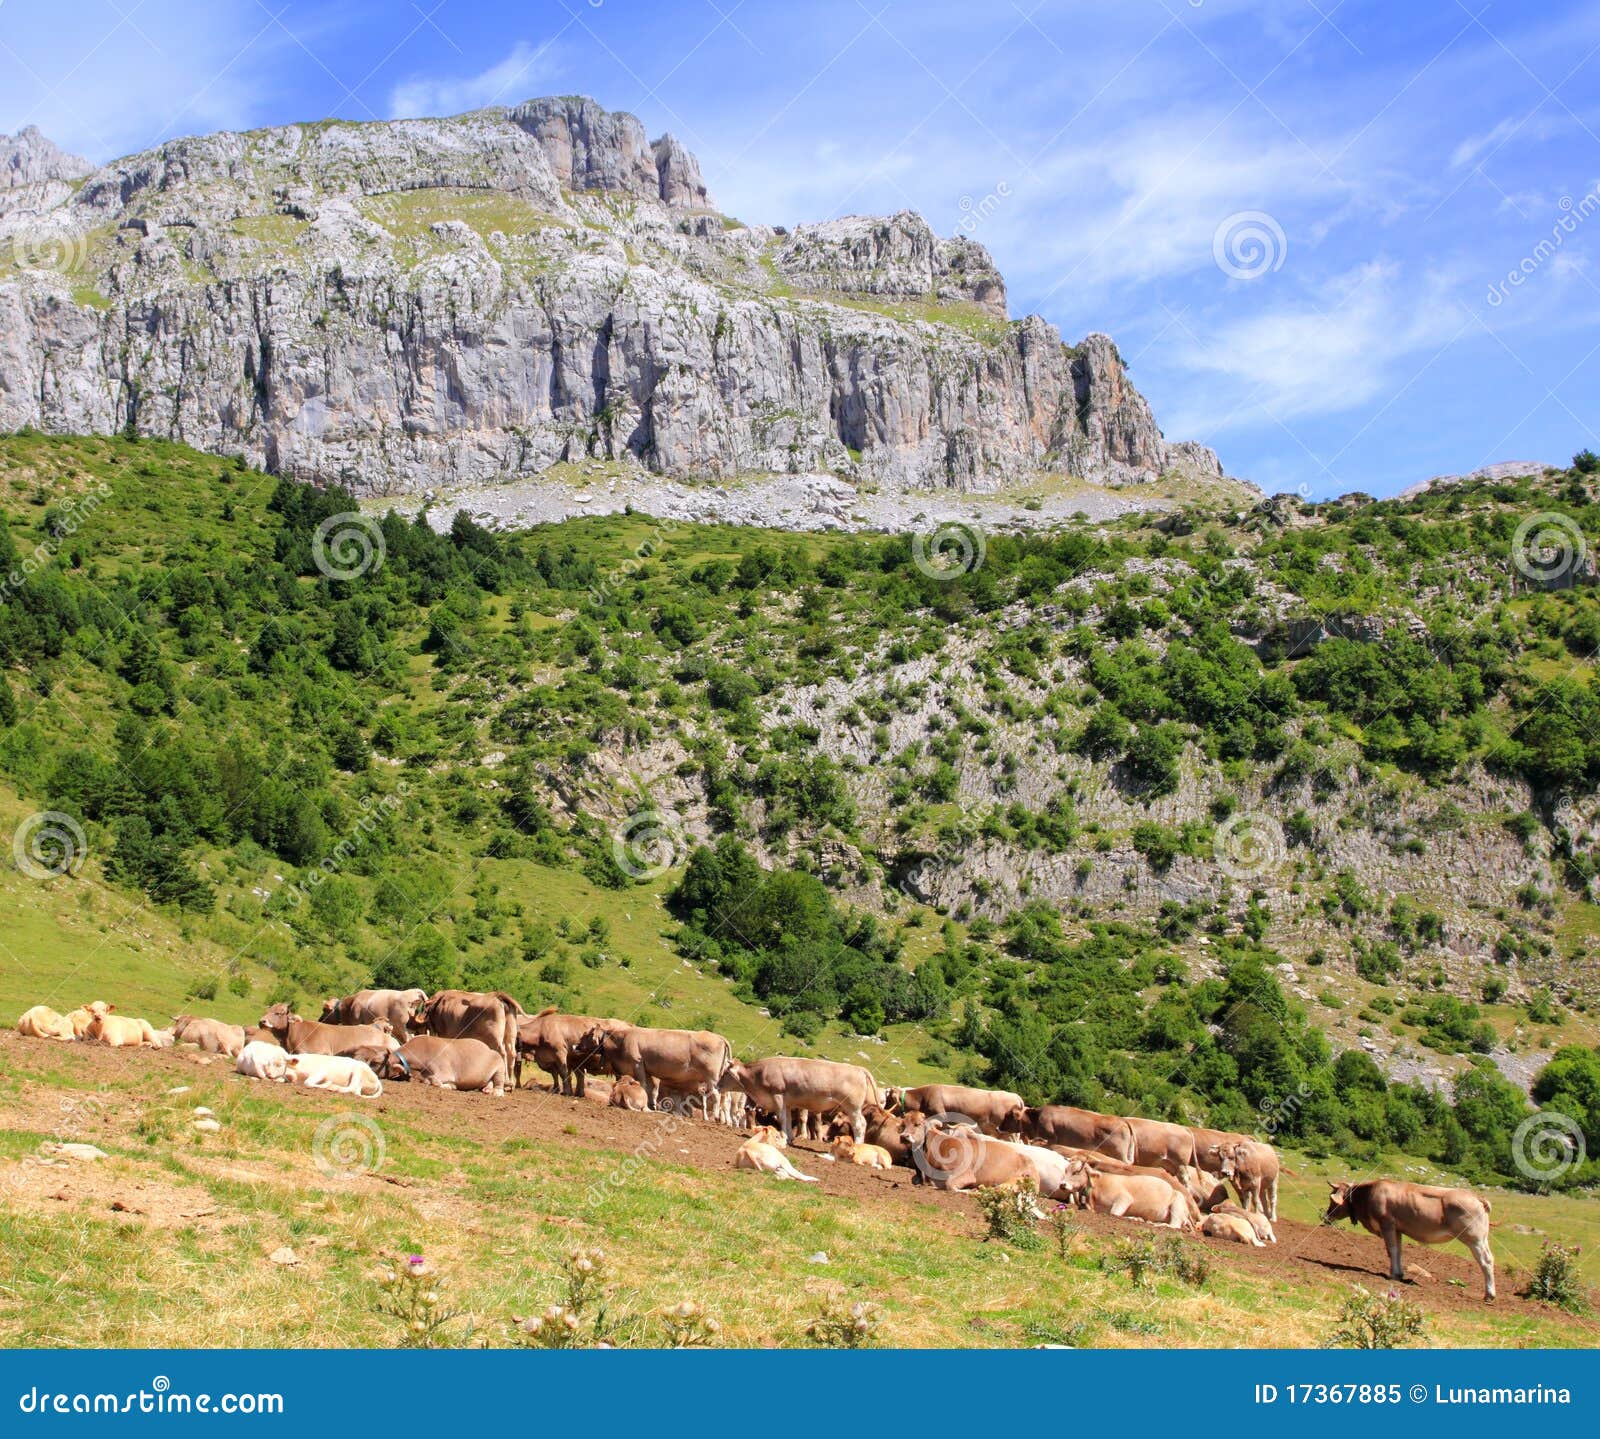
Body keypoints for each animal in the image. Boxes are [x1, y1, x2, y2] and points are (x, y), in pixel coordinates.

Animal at [598, 1025, 733, 1118]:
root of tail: (719, 1037)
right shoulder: (647, 1070)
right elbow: (652, 1090)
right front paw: (652, 1106)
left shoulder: (637, 1064)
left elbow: (644, 1085)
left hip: (711, 1077)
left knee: (715, 1095)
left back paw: (714, 1116)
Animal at [727, 1057, 878, 1144]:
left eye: (725, 1073)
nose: (717, 1084)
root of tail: (859, 1069)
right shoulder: (787, 1103)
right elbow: (787, 1119)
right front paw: (789, 1138)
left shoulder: (778, 1096)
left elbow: (783, 1118)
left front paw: (784, 1137)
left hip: (852, 1107)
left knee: (859, 1125)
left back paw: (857, 1145)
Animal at [1056, 1158, 1192, 1229]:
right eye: (1065, 1171)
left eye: (1076, 1172)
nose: (1062, 1184)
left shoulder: (1124, 1198)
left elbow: (1114, 1213)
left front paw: (1135, 1218)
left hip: (1177, 1205)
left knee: (1175, 1225)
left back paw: (1155, 1223)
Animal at [1323, 1179, 1496, 1301]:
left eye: (1332, 1198)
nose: (1326, 1216)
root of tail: (1476, 1197)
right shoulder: (1397, 1229)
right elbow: (1398, 1250)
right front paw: (1399, 1273)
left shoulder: (1387, 1224)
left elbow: (1391, 1249)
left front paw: (1393, 1274)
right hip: (1482, 1239)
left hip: (1474, 1238)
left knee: (1485, 1261)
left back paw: (1489, 1294)